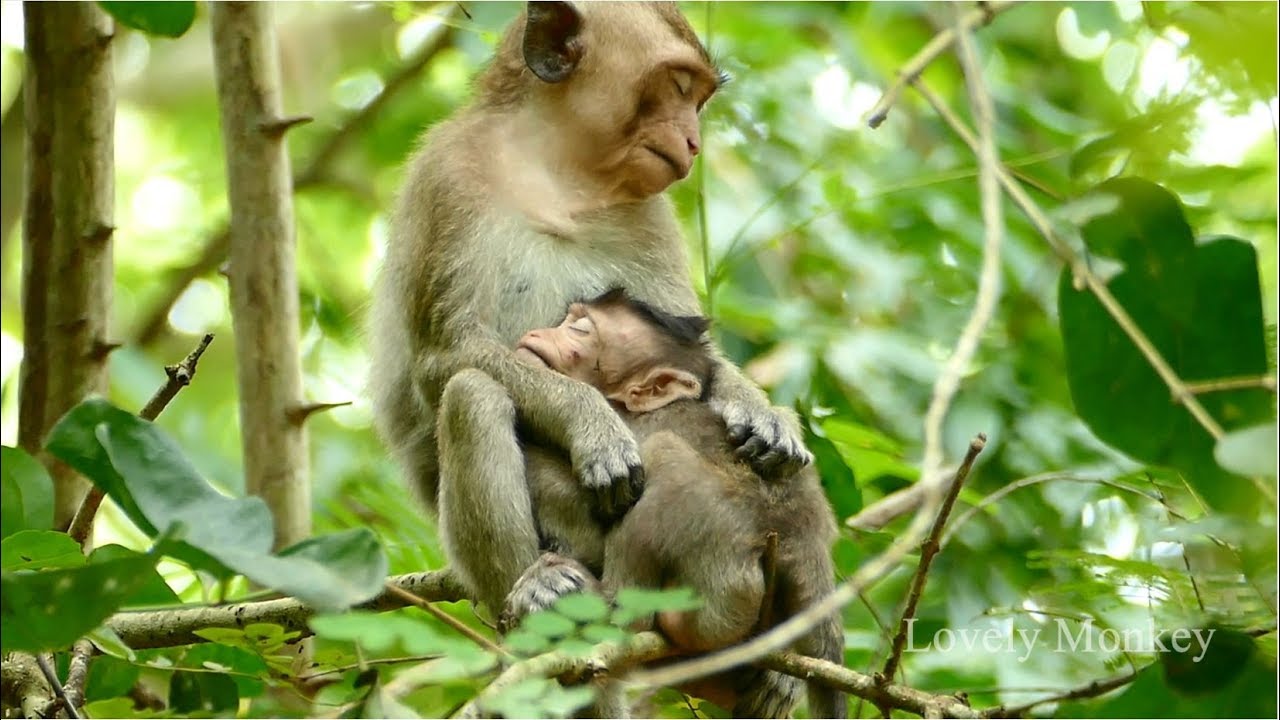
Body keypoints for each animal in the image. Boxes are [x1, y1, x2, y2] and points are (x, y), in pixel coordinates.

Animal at [368, 0, 813, 626]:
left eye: (697, 100)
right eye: (678, 87)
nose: (693, 141)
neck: (560, 176)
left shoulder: (649, 214)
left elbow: (695, 351)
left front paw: (761, 412)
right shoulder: (450, 178)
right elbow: (446, 356)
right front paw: (592, 424)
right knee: (472, 396)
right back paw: (533, 589)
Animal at [504, 289, 846, 719]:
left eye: (580, 331)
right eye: (567, 321)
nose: (538, 332)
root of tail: (804, 551)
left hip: (720, 593)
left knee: (664, 457)